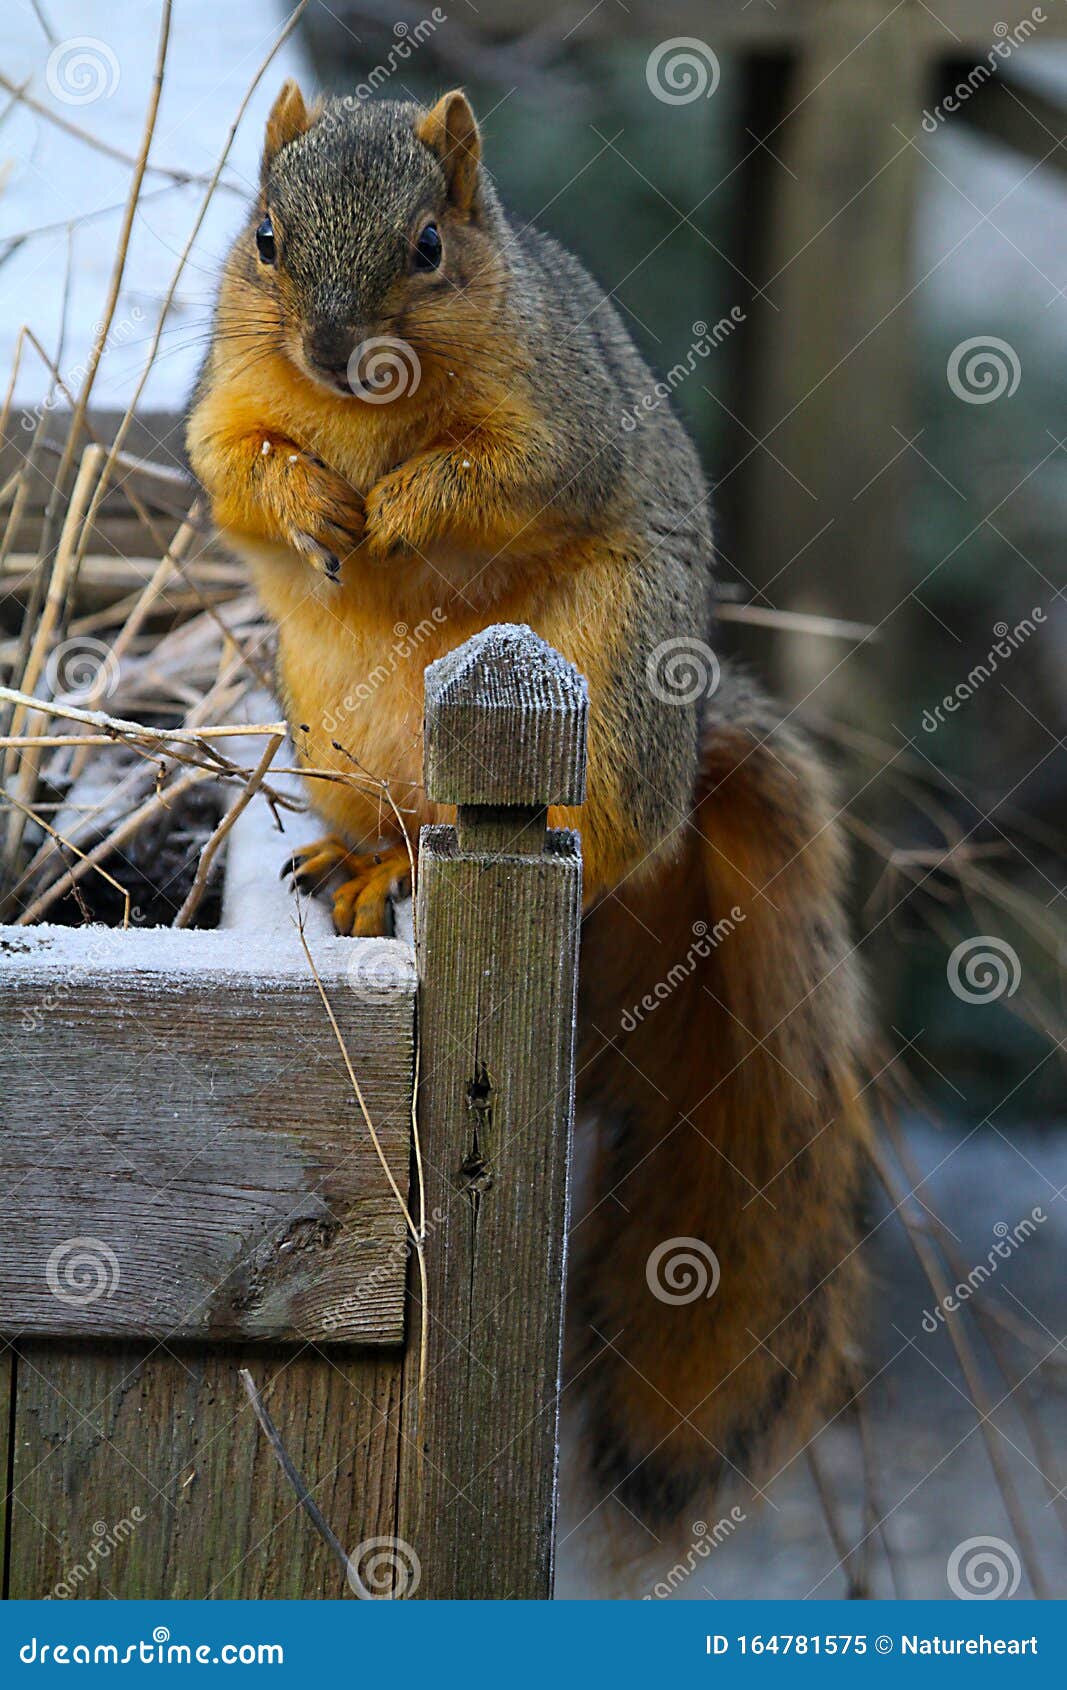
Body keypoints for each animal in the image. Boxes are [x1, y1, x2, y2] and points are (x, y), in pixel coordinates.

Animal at [187, 83, 869, 1522]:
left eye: (430, 247)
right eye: (264, 237)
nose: (332, 350)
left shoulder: (548, 405)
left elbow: (498, 475)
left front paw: (396, 503)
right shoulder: (228, 389)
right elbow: (236, 470)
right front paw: (315, 500)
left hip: (608, 682)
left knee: (606, 846)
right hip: (328, 724)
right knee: (391, 819)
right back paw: (363, 860)